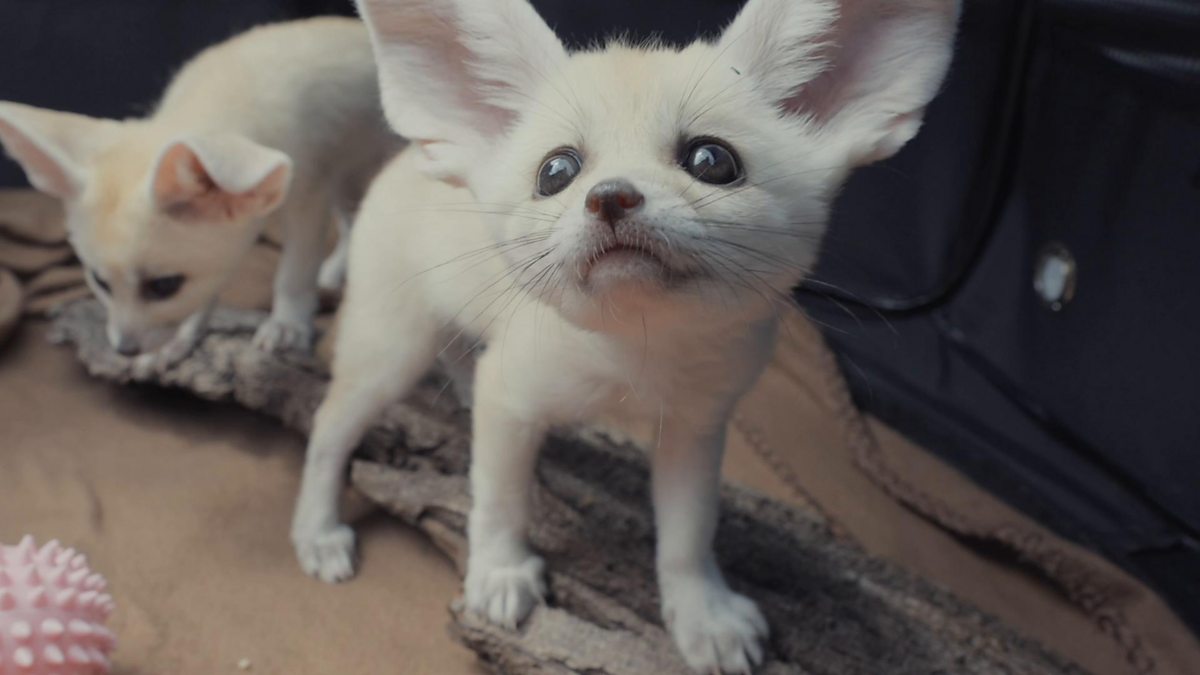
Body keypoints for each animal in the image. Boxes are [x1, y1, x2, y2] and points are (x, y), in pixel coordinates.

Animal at [0, 17, 400, 374]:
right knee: (351, 221)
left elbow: (294, 271)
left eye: (163, 287)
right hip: (348, 179)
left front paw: (287, 325)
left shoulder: (307, 194)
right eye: (100, 283)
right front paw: (185, 336)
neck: (226, 92)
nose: (125, 350)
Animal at [289, 0, 959, 671]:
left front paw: (703, 614)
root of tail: (410, 159)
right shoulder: (512, 398)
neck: (636, 348)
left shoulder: (695, 429)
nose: (610, 197)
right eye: (556, 172)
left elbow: (689, 534)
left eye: (712, 161)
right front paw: (499, 572)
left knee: (457, 358)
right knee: (329, 426)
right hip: (392, 351)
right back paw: (317, 530)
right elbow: (499, 499)